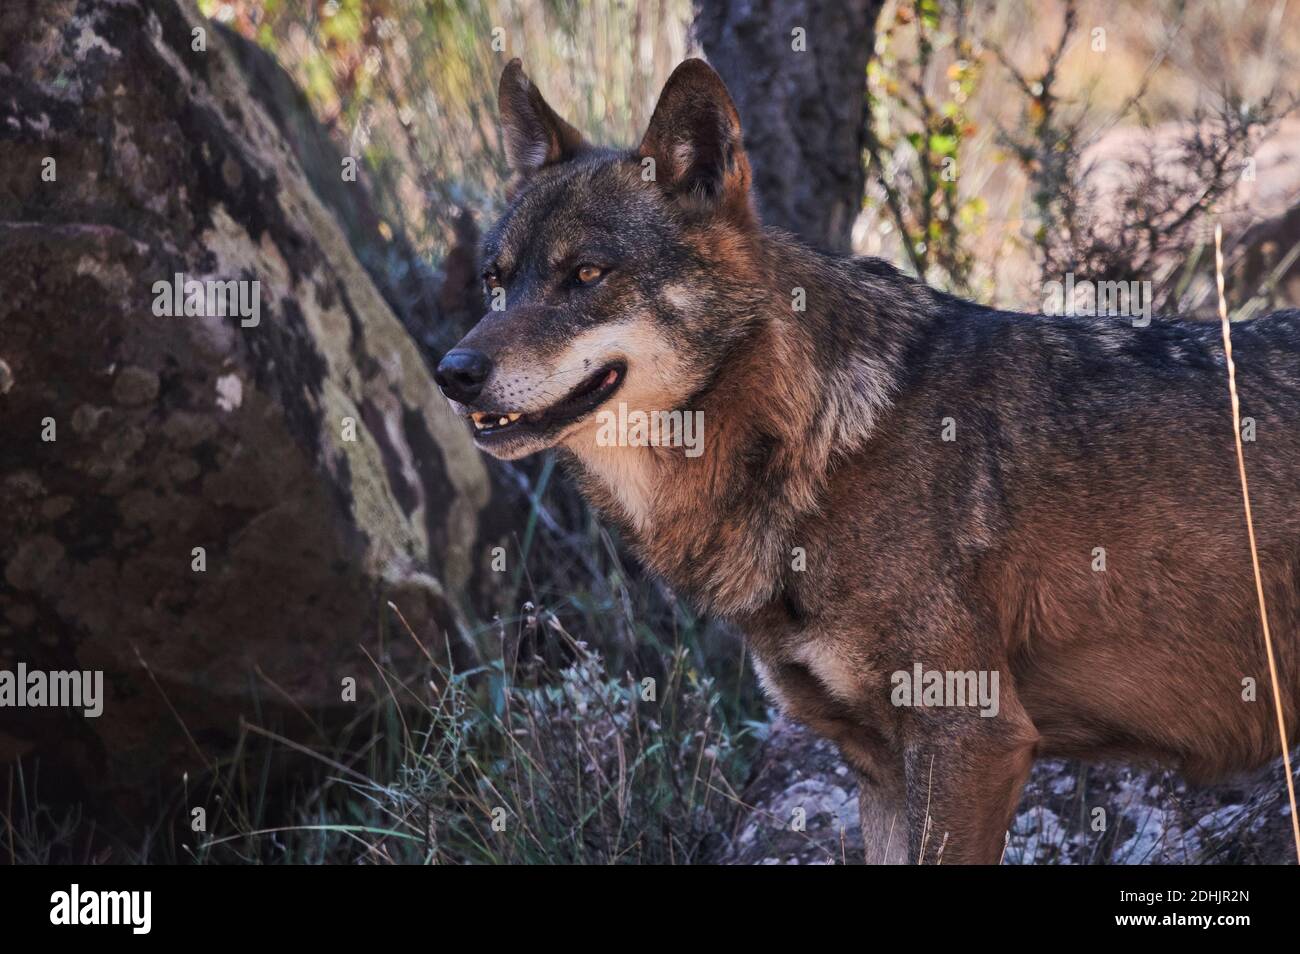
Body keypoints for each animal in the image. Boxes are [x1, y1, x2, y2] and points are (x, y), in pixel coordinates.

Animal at [436, 58, 1300, 863]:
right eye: (495, 281)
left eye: (586, 274)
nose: (453, 372)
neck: (815, 442)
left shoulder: (973, 740)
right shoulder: (878, 766)